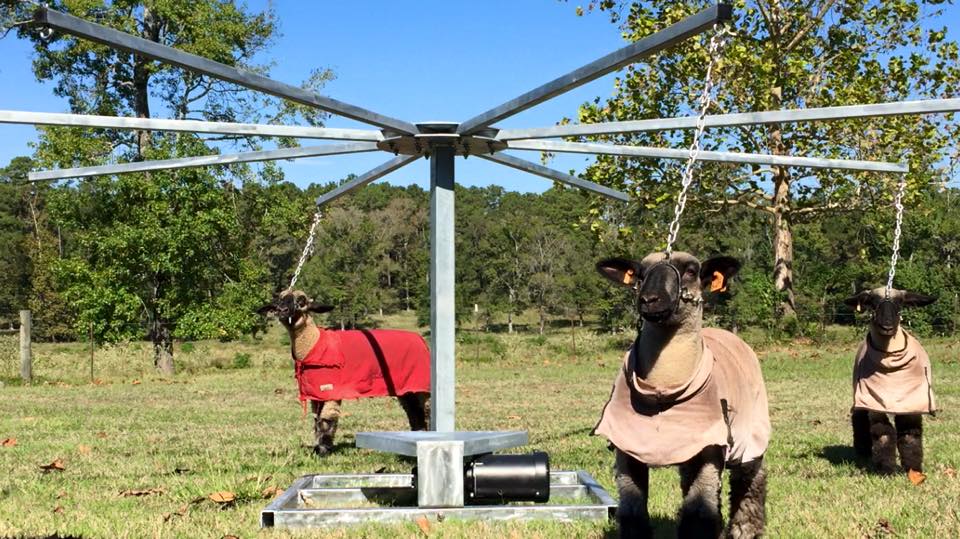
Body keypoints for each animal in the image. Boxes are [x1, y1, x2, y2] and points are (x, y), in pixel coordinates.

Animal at [258, 290, 430, 455]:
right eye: (279, 300)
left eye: (301, 301)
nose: (282, 311)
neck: (313, 344)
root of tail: (421, 340)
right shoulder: (316, 393)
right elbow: (316, 421)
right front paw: (317, 447)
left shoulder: (330, 389)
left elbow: (327, 420)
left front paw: (323, 450)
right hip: (407, 387)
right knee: (414, 411)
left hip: (422, 384)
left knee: (425, 410)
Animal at [593, 252, 770, 539]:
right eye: (640, 274)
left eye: (690, 271)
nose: (649, 300)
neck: (663, 393)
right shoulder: (627, 446)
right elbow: (632, 509)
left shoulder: (711, 445)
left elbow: (698, 510)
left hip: (751, 434)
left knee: (751, 480)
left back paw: (744, 530)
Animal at [843, 287, 937, 475]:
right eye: (871, 301)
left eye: (900, 302)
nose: (887, 326)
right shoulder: (875, 401)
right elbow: (883, 433)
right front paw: (886, 469)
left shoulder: (912, 402)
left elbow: (910, 432)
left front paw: (913, 470)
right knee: (859, 419)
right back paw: (863, 452)